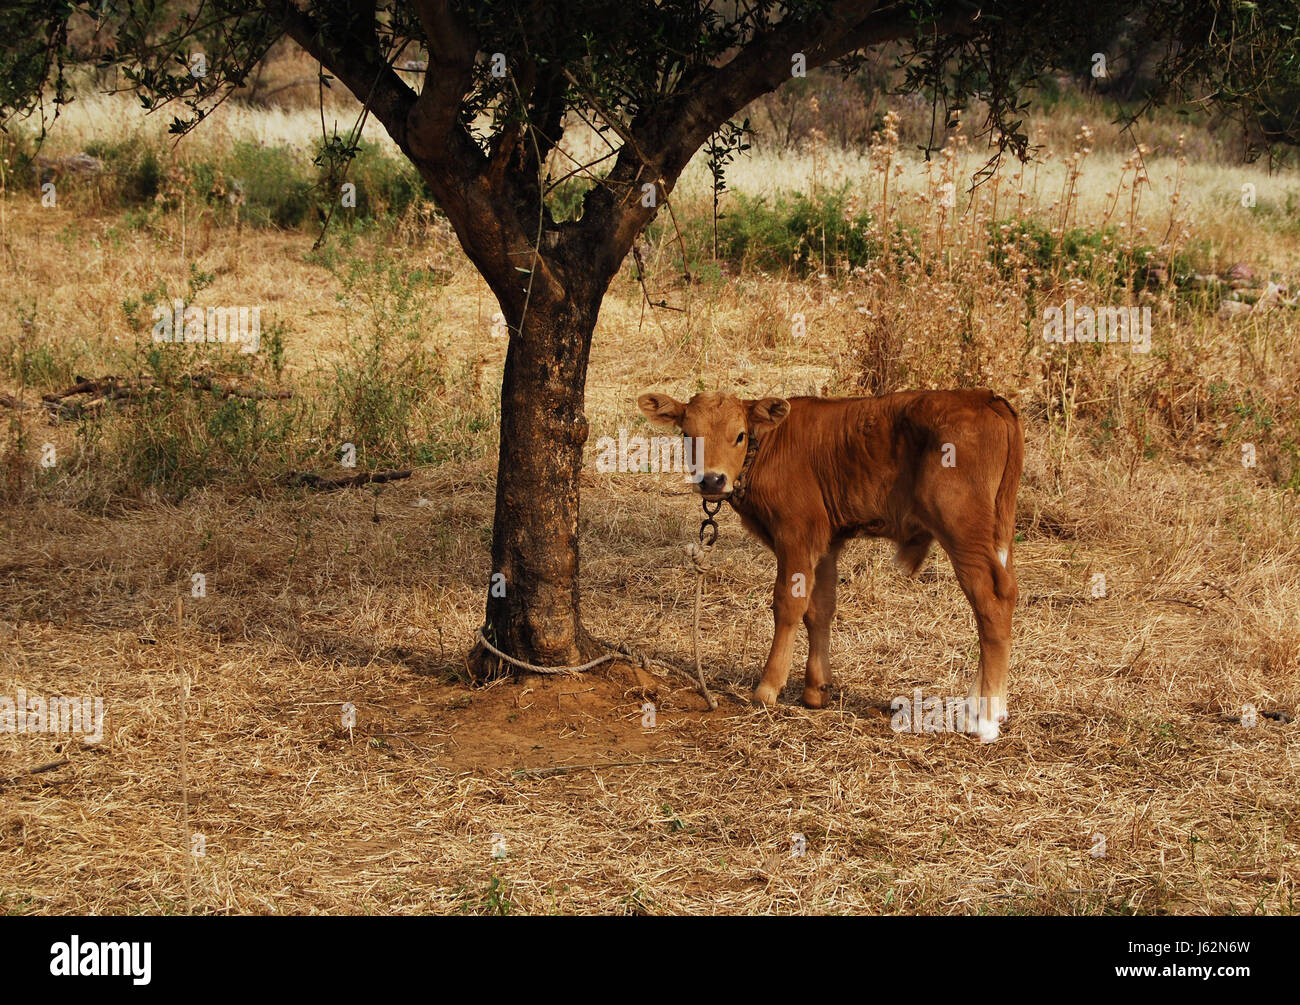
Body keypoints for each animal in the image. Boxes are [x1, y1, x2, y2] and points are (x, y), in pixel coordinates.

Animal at [637, 388, 1023, 742]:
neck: (769, 449)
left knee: (992, 601)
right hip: (994, 531)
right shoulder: (824, 542)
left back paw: (986, 719)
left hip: (961, 527)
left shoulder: (795, 533)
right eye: (688, 434)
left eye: (740, 435)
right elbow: (819, 608)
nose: (712, 480)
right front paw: (816, 689)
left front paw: (767, 688)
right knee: (1003, 595)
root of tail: (984, 397)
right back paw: (979, 707)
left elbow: (788, 605)